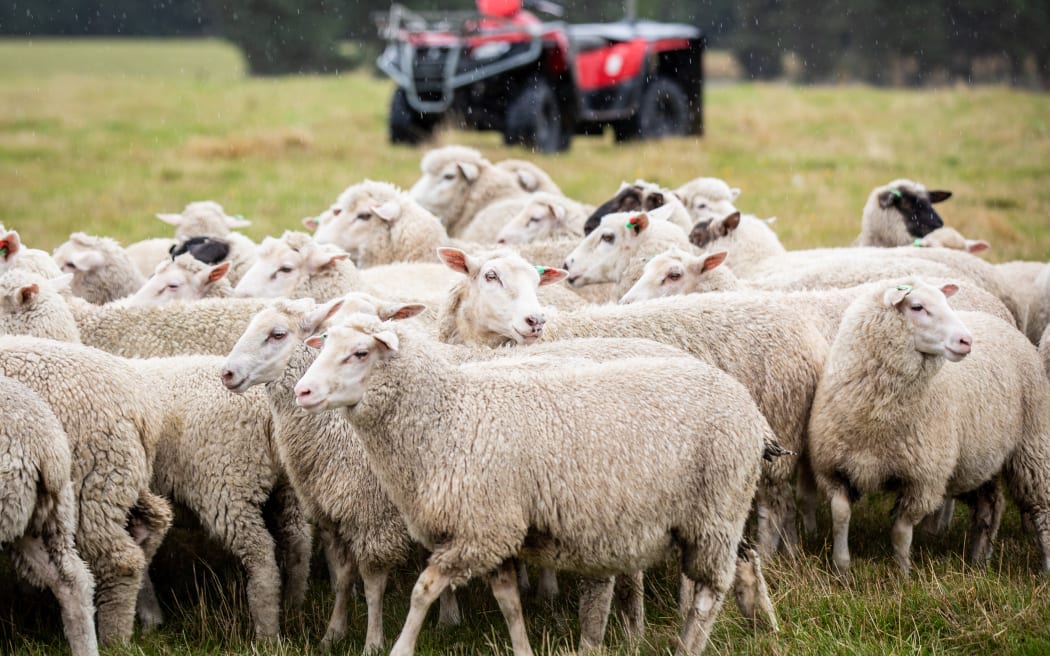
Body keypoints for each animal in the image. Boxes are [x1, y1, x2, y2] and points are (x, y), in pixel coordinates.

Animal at [292, 312, 774, 655]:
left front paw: (399, 648)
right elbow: (509, 602)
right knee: (741, 563)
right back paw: (760, 622)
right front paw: (522, 648)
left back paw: (689, 646)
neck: (448, 414)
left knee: (710, 591)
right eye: (325, 345)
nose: (302, 392)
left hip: (714, 511)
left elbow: (423, 590)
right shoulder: (493, 534)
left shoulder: (481, 529)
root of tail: (749, 406)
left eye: (359, 353)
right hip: (713, 514)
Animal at [437, 246, 828, 558]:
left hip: (780, 422)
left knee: (773, 505)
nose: (536, 321)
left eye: (537, 283)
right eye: (490, 275)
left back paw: (771, 555)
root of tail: (805, 330)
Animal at [807, 278, 1050, 575]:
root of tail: (1002, 324)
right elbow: (840, 515)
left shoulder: (922, 480)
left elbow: (901, 532)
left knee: (1041, 512)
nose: (966, 341)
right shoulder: (834, 469)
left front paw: (902, 574)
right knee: (989, 507)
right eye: (917, 307)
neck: (878, 421)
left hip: (1032, 445)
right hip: (979, 457)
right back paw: (978, 561)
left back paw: (1044, 567)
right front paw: (841, 568)